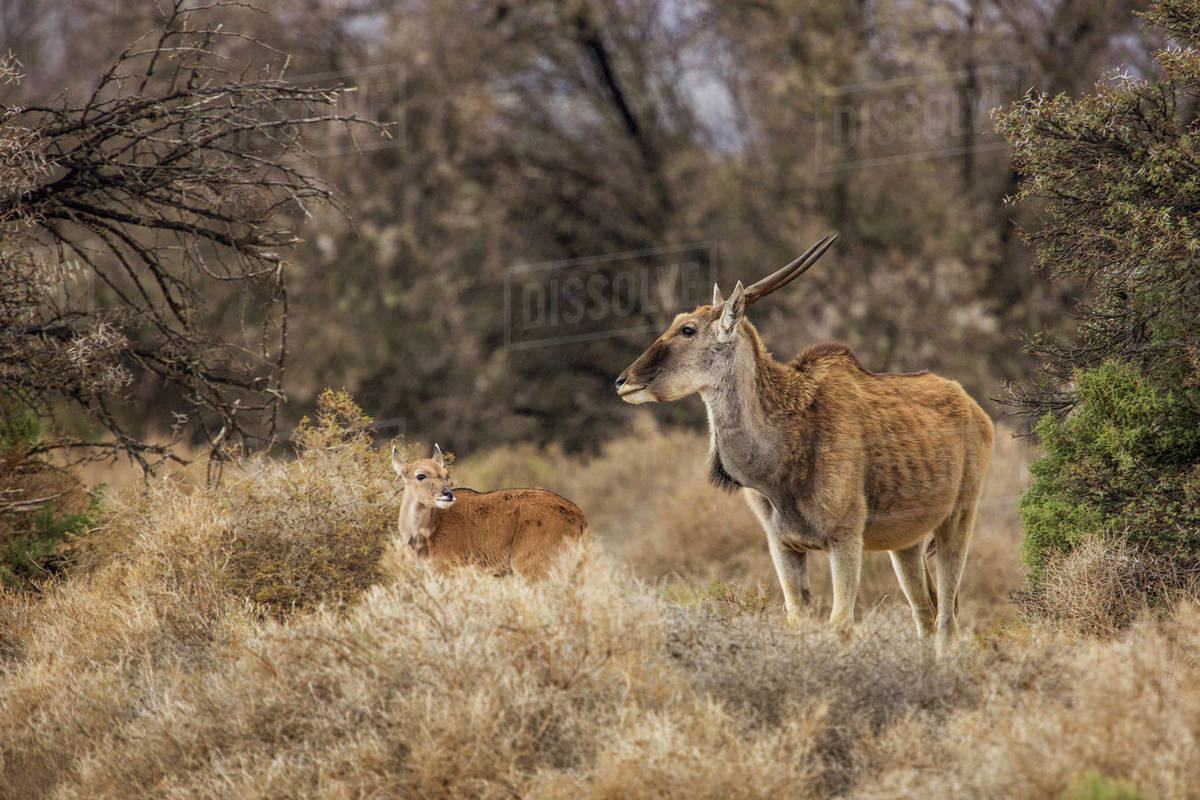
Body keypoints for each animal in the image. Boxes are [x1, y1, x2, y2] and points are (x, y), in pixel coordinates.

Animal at [391, 444, 590, 579]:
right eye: (420, 475)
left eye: (446, 475)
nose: (448, 494)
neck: (431, 529)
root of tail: (579, 516)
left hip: (533, 568)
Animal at [615, 234, 993, 654]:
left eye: (687, 329)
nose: (623, 380)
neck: (790, 440)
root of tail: (974, 408)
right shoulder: (784, 546)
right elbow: (797, 619)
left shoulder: (845, 540)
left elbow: (840, 623)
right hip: (906, 544)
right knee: (926, 612)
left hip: (958, 520)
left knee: (946, 616)